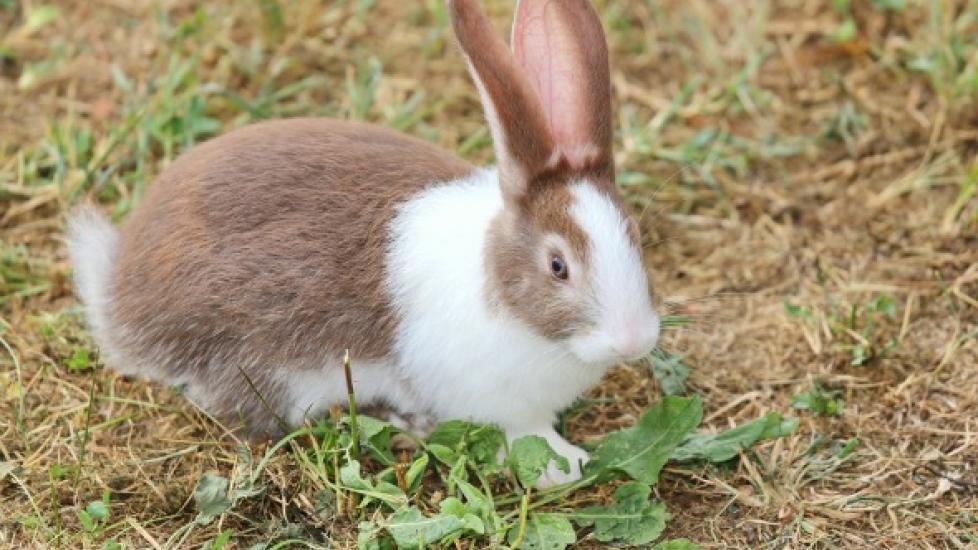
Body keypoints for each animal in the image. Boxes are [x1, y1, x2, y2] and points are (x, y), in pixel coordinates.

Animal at [67, 0, 660, 488]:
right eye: (558, 265)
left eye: (634, 234)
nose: (633, 341)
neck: (497, 285)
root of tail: (120, 299)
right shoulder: (500, 406)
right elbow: (526, 438)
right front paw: (566, 466)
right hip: (268, 365)